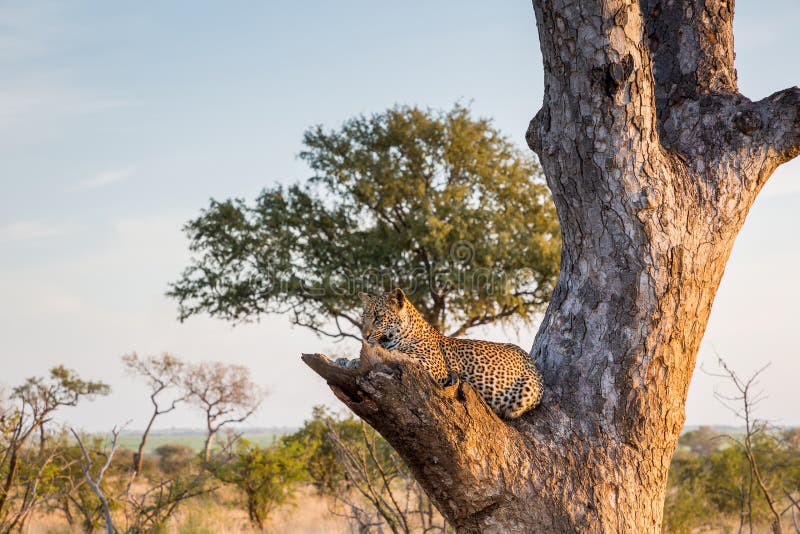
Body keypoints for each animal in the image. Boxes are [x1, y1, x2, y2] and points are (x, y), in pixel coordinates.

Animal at [358, 288, 543, 419]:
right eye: (363, 318)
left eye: (378, 318)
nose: (364, 336)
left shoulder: (432, 367)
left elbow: (402, 356)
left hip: (525, 394)